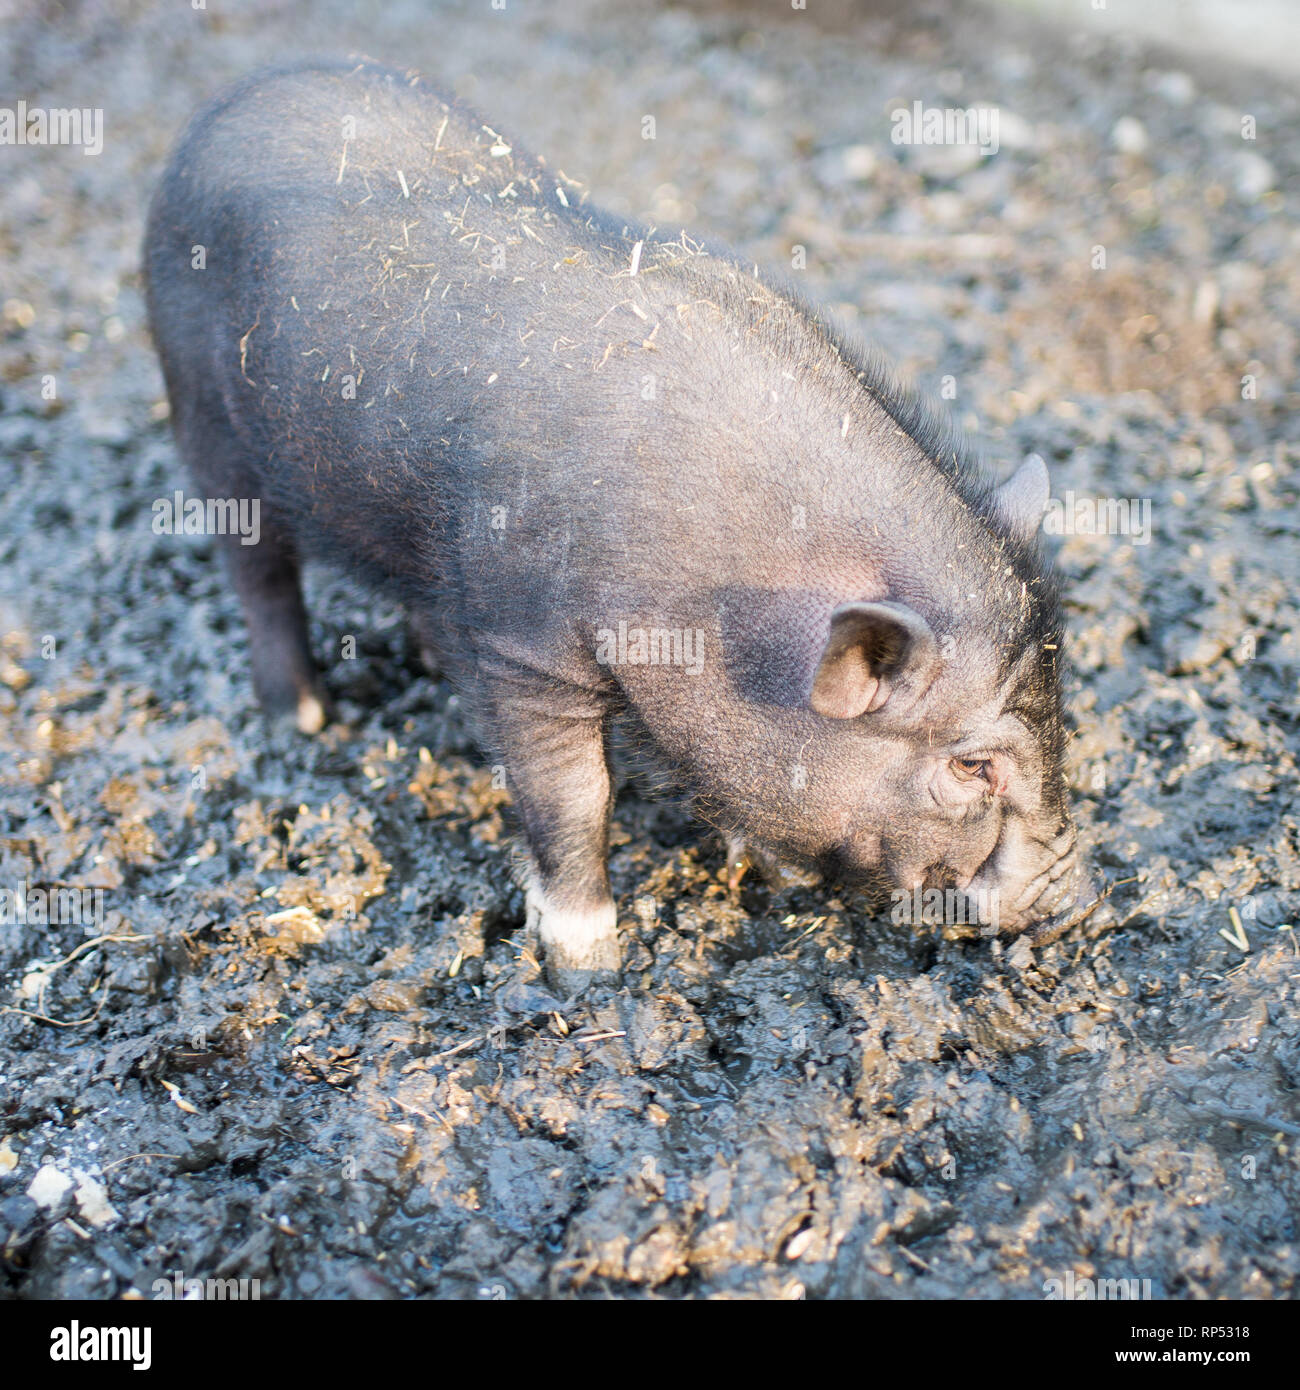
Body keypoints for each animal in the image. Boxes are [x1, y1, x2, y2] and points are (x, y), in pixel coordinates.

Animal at [144, 59, 1097, 991]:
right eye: (971, 765)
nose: (1076, 899)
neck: (729, 601)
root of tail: (228, 101)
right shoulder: (528, 644)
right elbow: (575, 796)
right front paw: (587, 965)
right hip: (204, 421)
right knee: (258, 573)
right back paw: (303, 718)